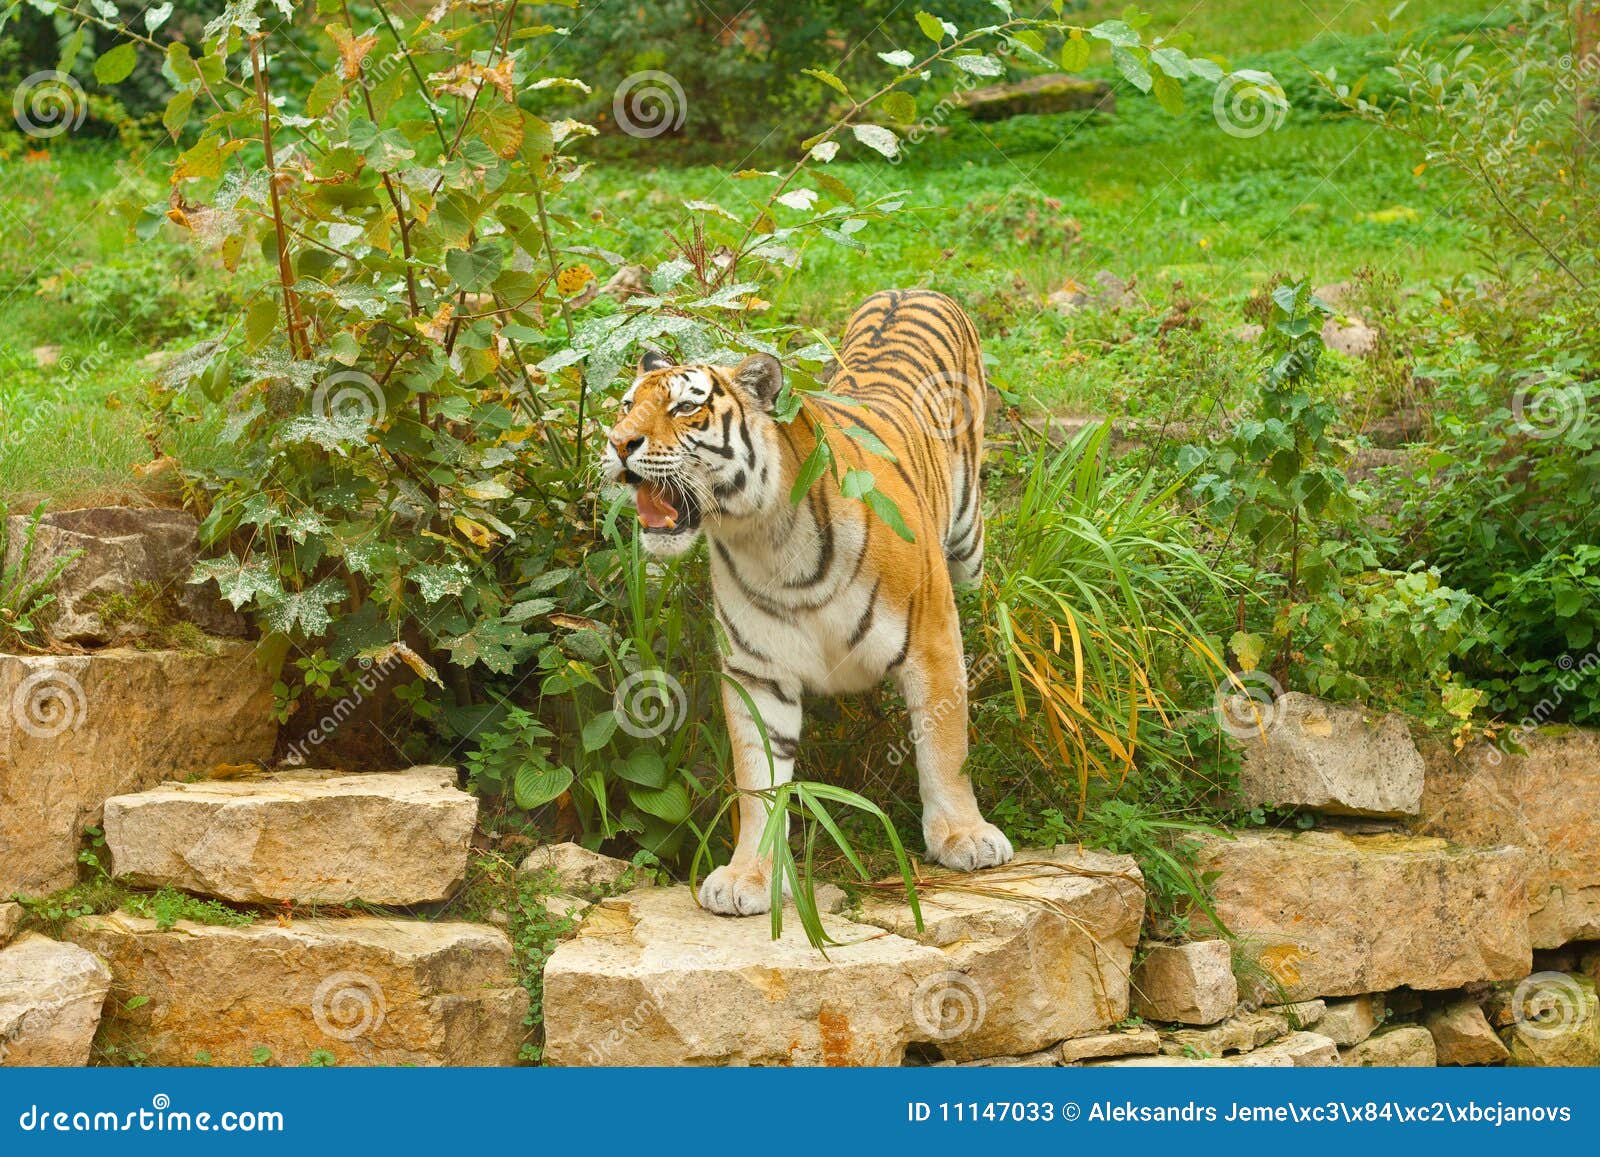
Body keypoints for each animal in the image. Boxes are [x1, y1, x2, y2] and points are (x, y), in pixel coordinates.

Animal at [601, 289, 1013, 916]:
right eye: (626, 405)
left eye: (685, 408)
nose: (618, 442)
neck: (767, 537)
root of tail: (911, 289)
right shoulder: (757, 670)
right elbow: (758, 779)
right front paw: (747, 875)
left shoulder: (934, 641)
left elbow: (945, 747)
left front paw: (964, 838)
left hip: (968, 544)